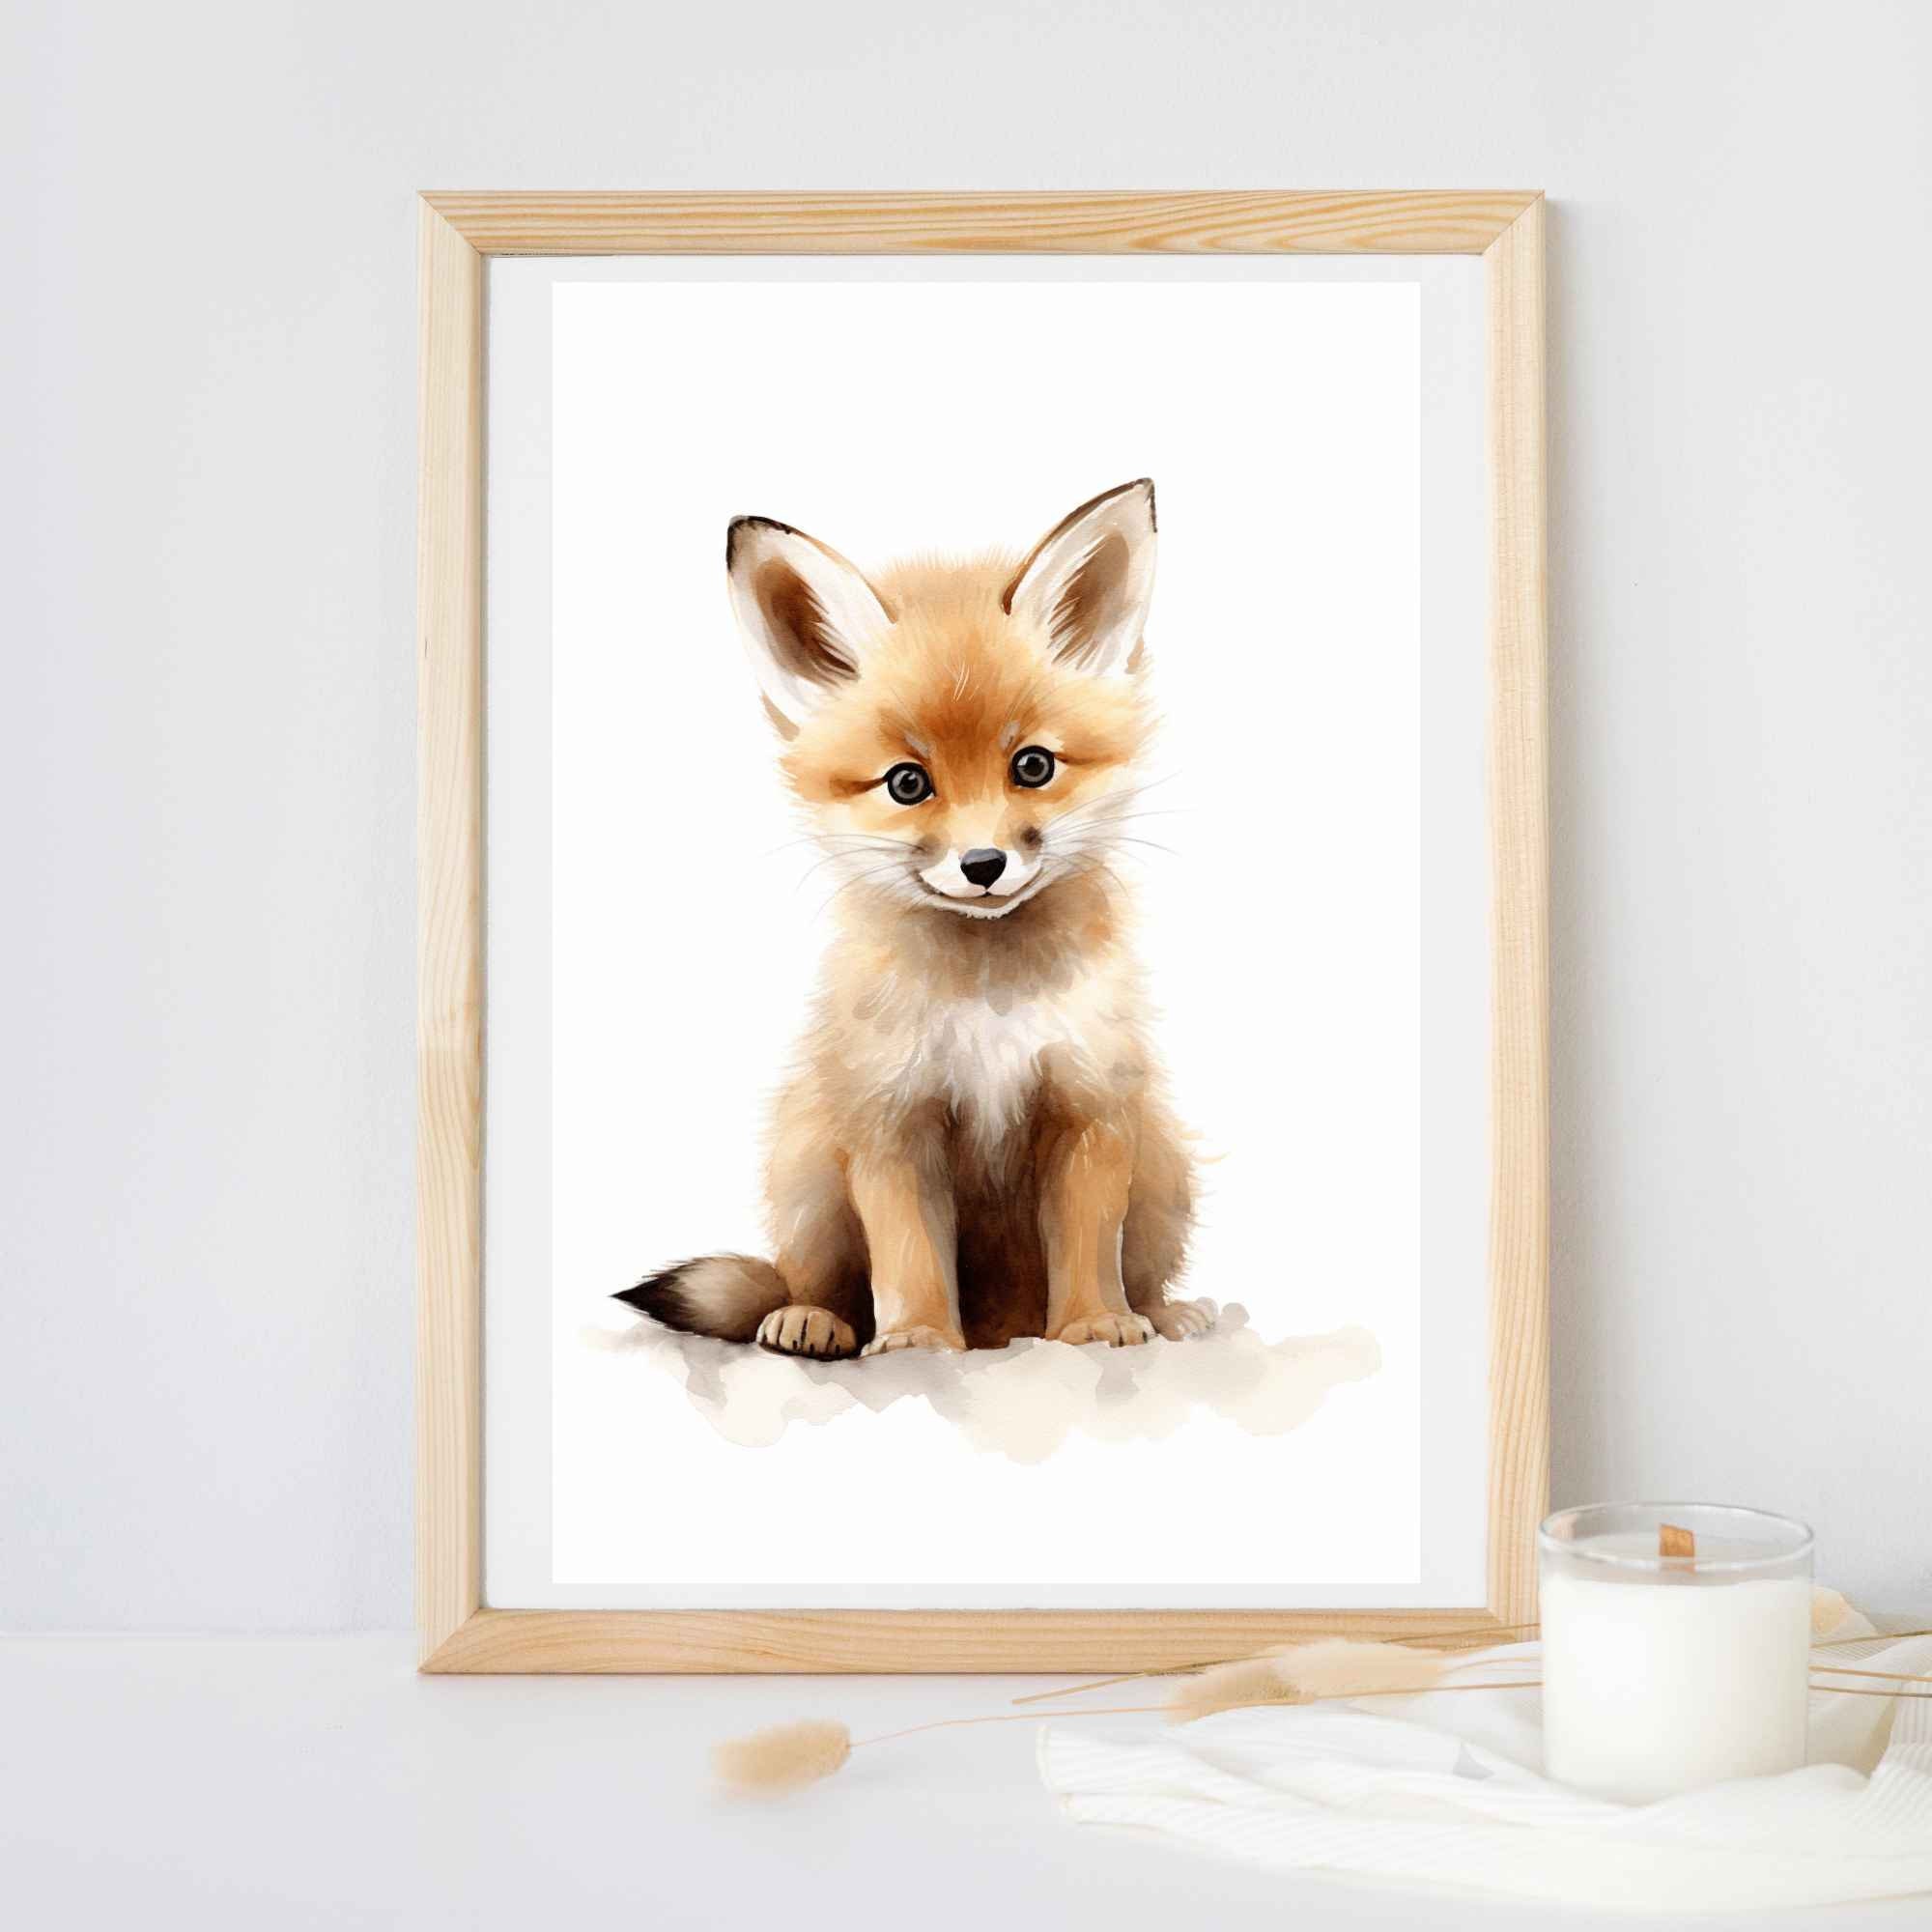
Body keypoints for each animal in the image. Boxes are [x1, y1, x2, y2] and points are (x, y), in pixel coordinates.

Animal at [615, 479, 1209, 1360]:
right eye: (906, 784)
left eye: (1033, 766)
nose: (983, 866)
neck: (989, 999)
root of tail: (1004, 1327)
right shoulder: (894, 1122)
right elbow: (909, 1255)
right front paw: (921, 1338)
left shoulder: (1088, 1107)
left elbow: (1087, 1245)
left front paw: (1093, 1325)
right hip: (807, 1164)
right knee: (809, 1281)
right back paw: (811, 1320)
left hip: (1164, 1168)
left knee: (1142, 1271)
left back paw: (1162, 1315)